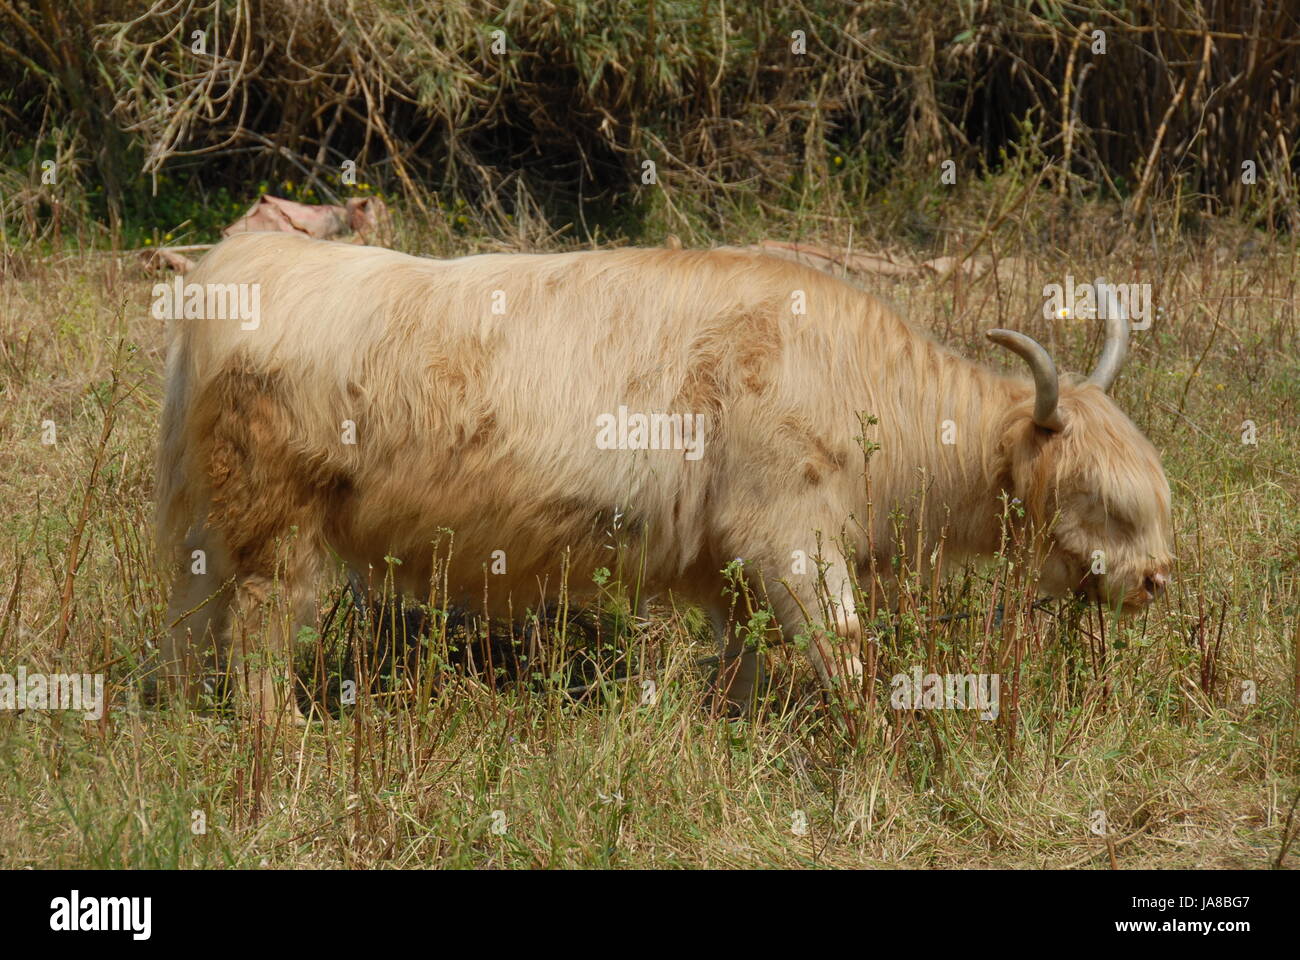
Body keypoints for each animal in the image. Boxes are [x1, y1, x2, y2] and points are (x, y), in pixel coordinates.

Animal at [155, 232, 1173, 721]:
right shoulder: (792, 541)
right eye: (1100, 497)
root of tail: (248, 259)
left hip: (215, 535)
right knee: (258, 633)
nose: (1158, 580)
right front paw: (877, 747)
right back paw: (280, 740)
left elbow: (746, 663)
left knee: (205, 629)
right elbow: (845, 654)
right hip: (275, 529)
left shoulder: (733, 567)